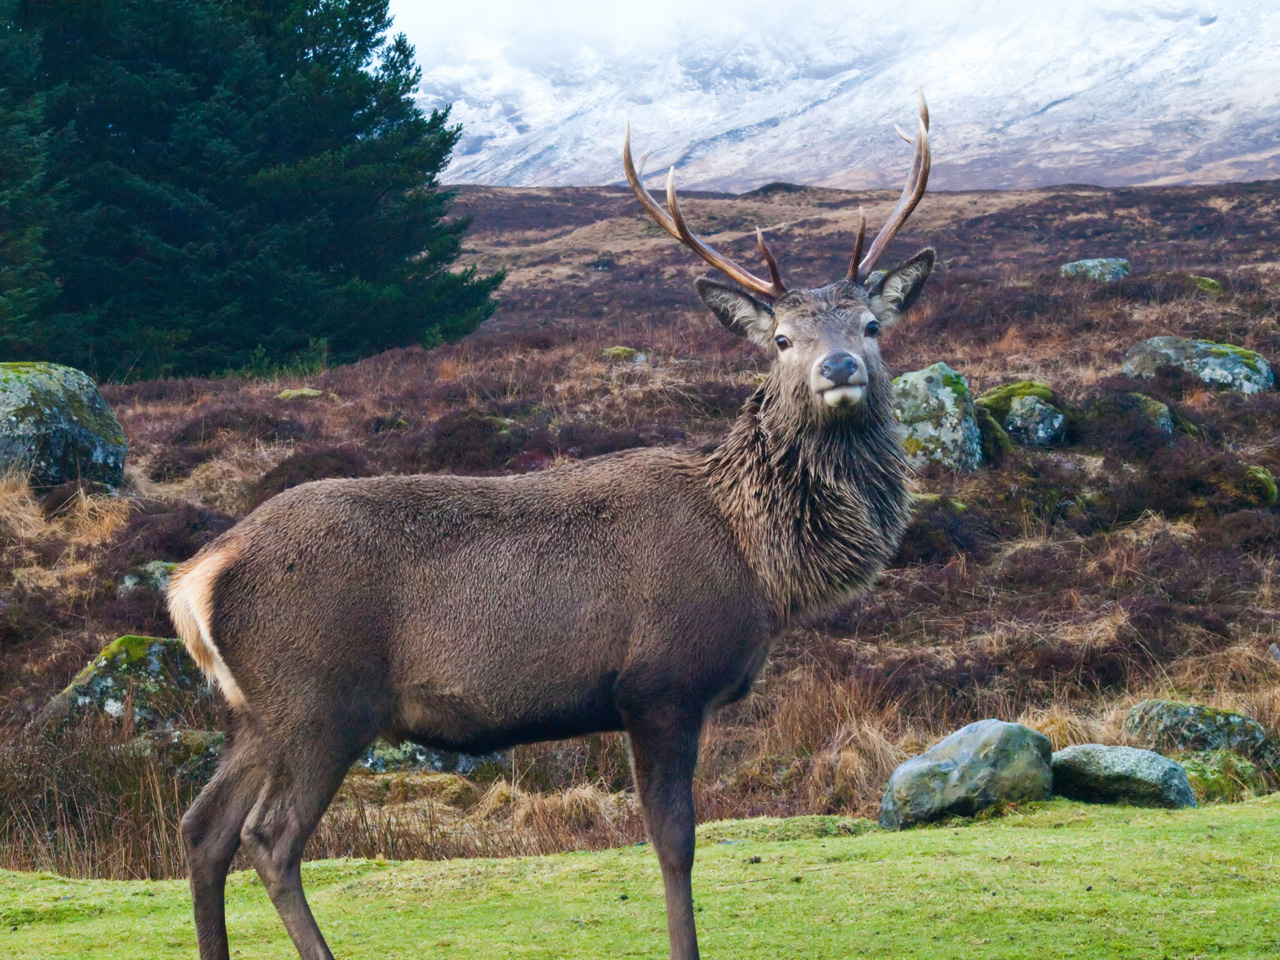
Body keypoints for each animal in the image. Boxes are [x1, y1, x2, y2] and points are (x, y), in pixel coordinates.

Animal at [168, 89, 934, 960]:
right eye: (780, 339)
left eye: (871, 326)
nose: (838, 369)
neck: (756, 558)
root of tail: (194, 580)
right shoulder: (660, 683)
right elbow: (674, 842)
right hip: (318, 700)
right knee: (269, 839)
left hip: (255, 709)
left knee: (203, 828)